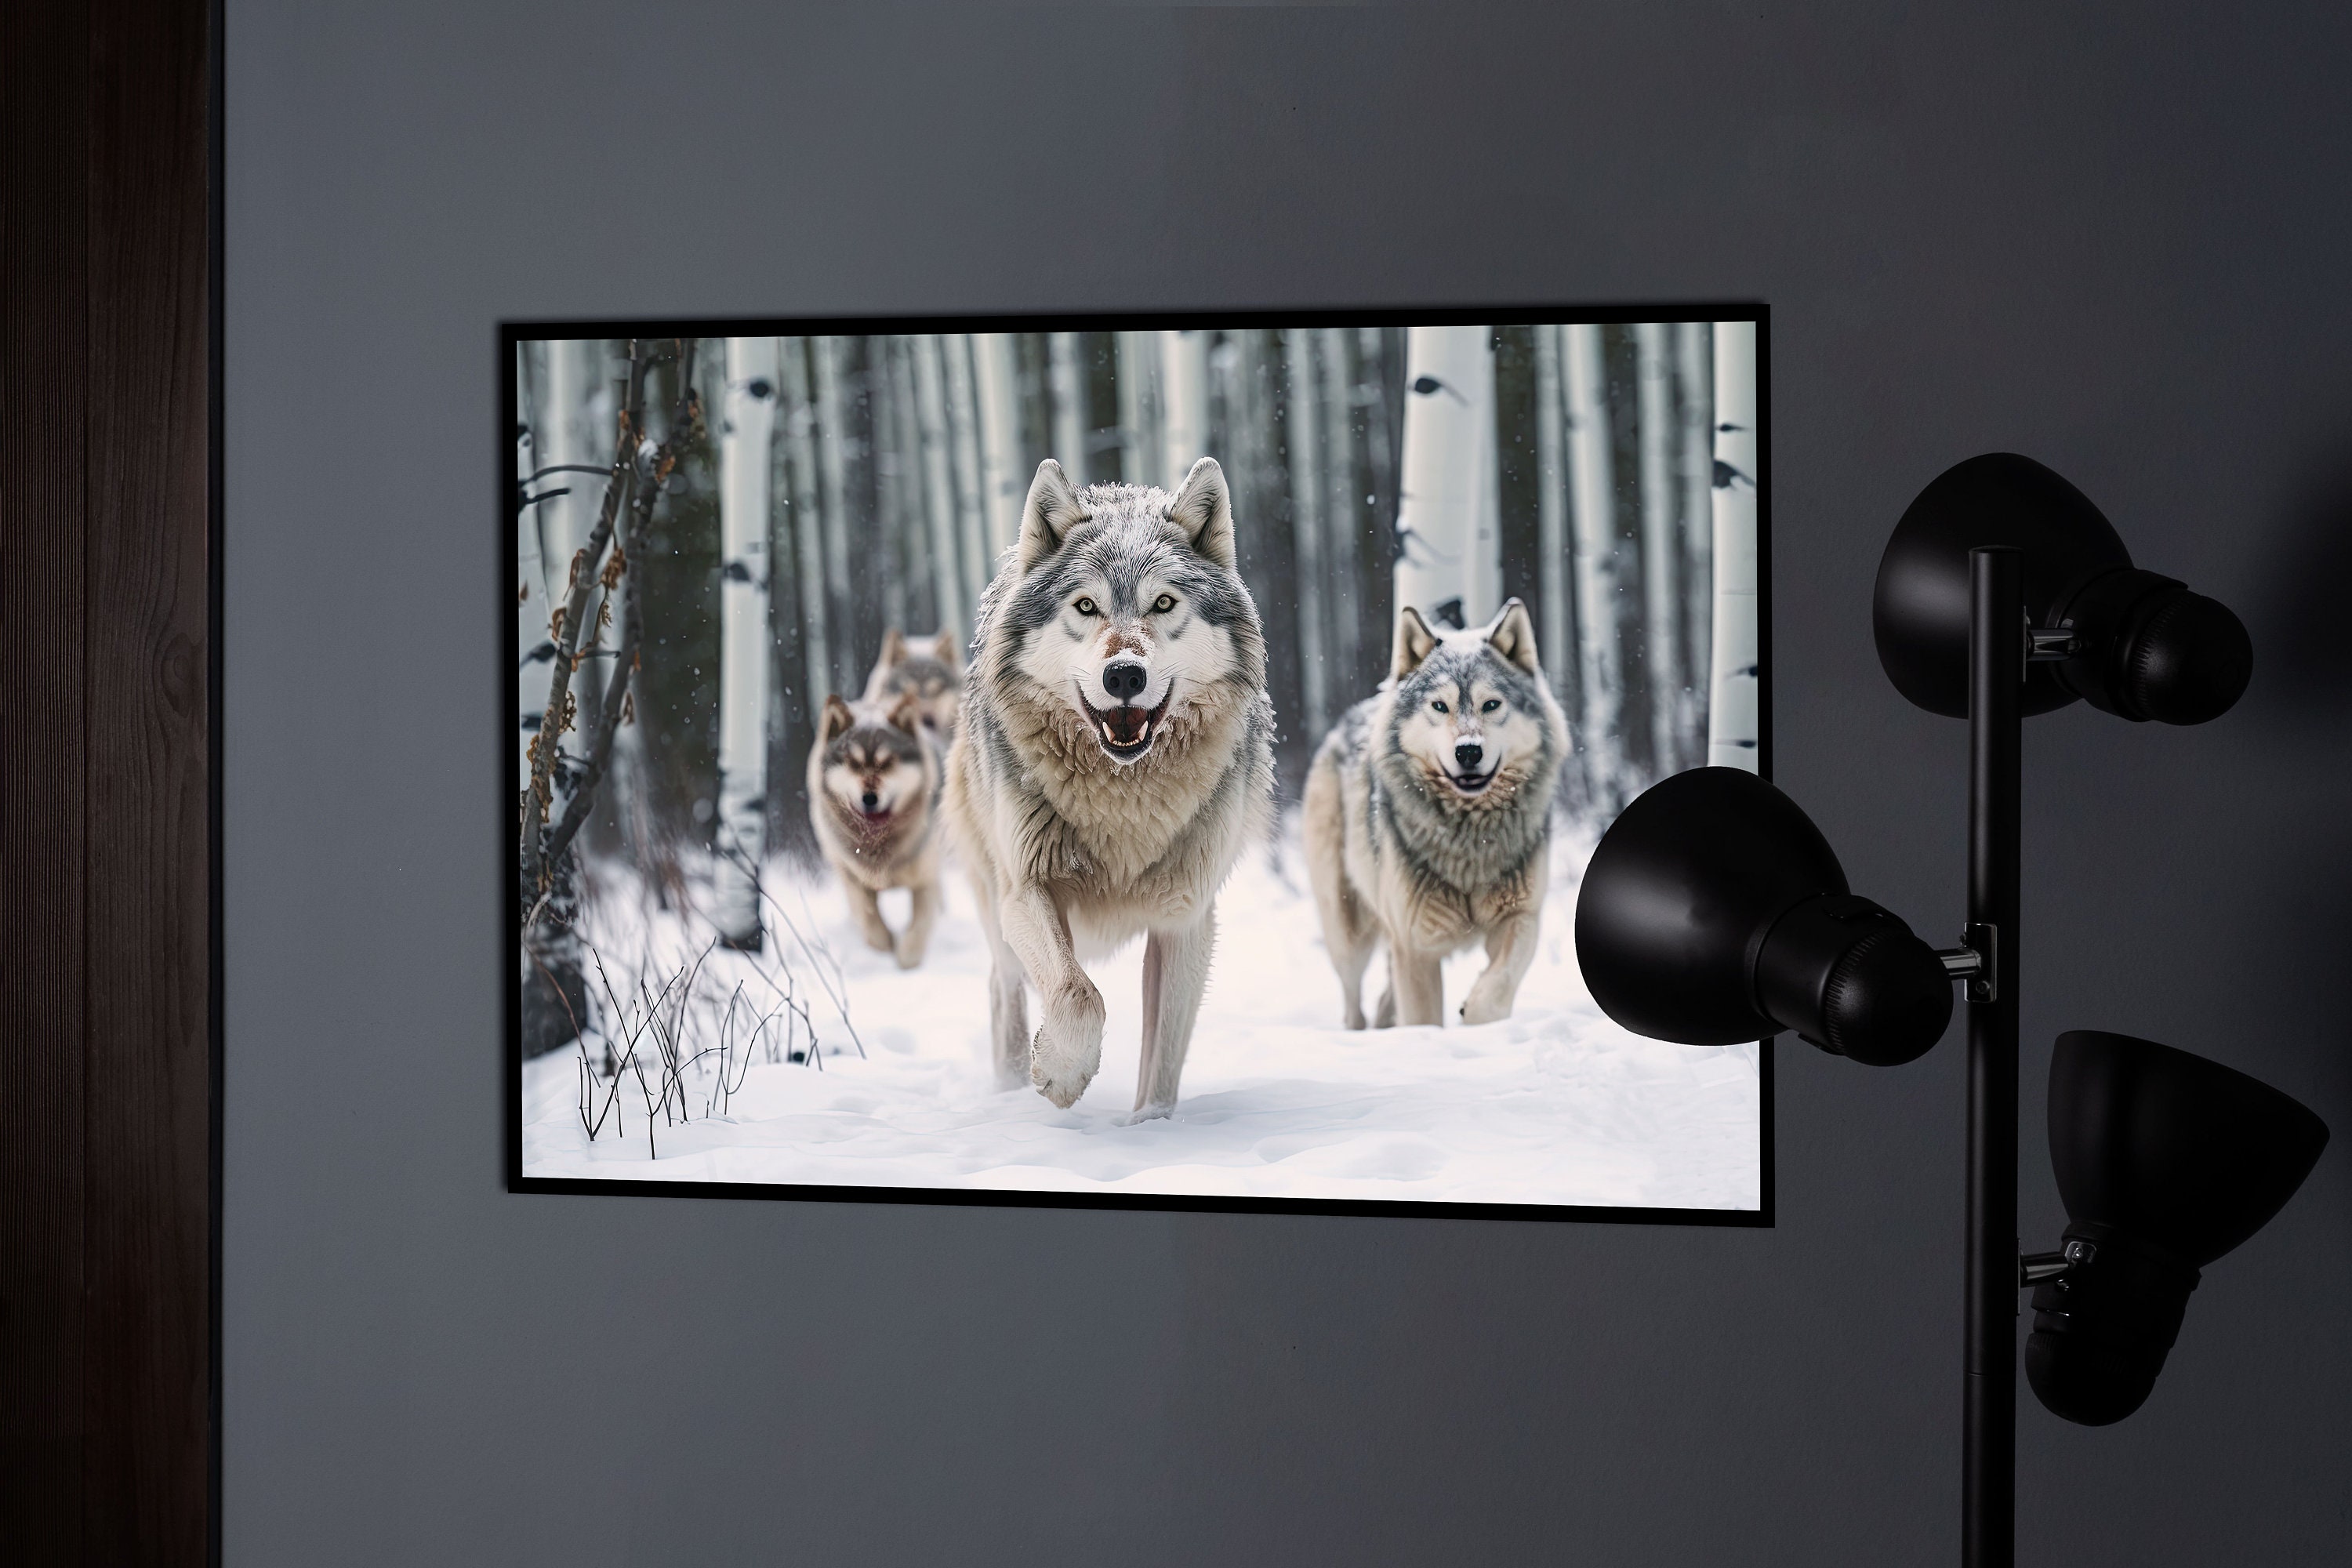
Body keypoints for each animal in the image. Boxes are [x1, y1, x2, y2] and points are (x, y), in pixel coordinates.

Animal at [807, 690, 942, 969]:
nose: (870, 798)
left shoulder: (925, 879)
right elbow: (869, 919)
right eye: (853, 763)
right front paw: (883, 946)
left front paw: (907, 960)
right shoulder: (853, 880)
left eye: (887, 763)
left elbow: (920, 924)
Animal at [943, 457, 1275, 1117]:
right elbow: (1079, 996)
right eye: (1087, 605)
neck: (1124, 800)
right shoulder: (1027, 889)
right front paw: (1062, 1074)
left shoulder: (1185, 920)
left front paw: (1150, 1128)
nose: (1124, 674)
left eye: (1164, 603)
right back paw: (1011, 1084)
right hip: (995, 899)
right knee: (1006, 984)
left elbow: (1163, 1062)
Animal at [1303, 599, 1568, 1030]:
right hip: (1348, 933)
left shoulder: (1522, 916)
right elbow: (1423, 1019)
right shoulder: (1416, 946)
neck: (1470, 839)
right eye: (1439, 706)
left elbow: (1498, 986)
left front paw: (1474, 1015)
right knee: (1353, 1002)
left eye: (1491, 704)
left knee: (1383, 1000)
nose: (1469, 751)